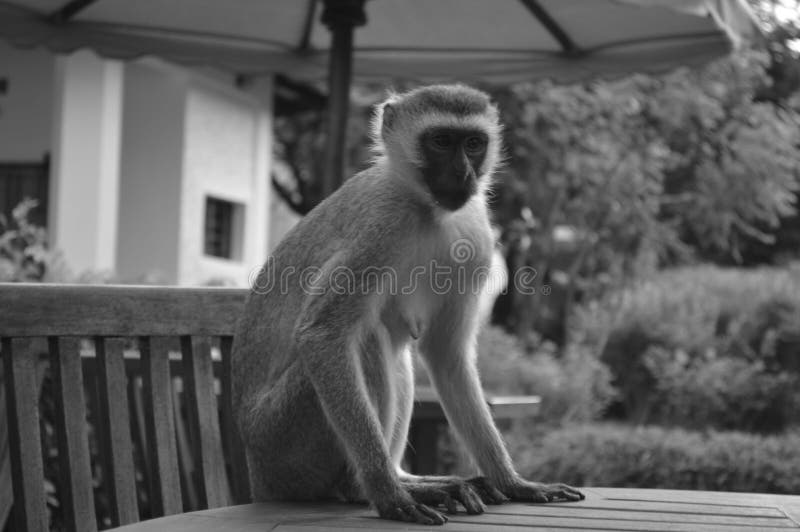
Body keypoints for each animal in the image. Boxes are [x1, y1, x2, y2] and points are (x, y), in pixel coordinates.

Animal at [231, 84, 584, 526]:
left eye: (473, 143)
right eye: (441, 141)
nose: (463, 174)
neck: (426, 209)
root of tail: (256, 469)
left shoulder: (477, 237)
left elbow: (447, 354)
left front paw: (513, 482)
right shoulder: (382, 226)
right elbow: (321, 335)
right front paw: (388, 494)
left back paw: (417, 480)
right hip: (281, 443)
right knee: (365, 340)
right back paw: (371, 487)